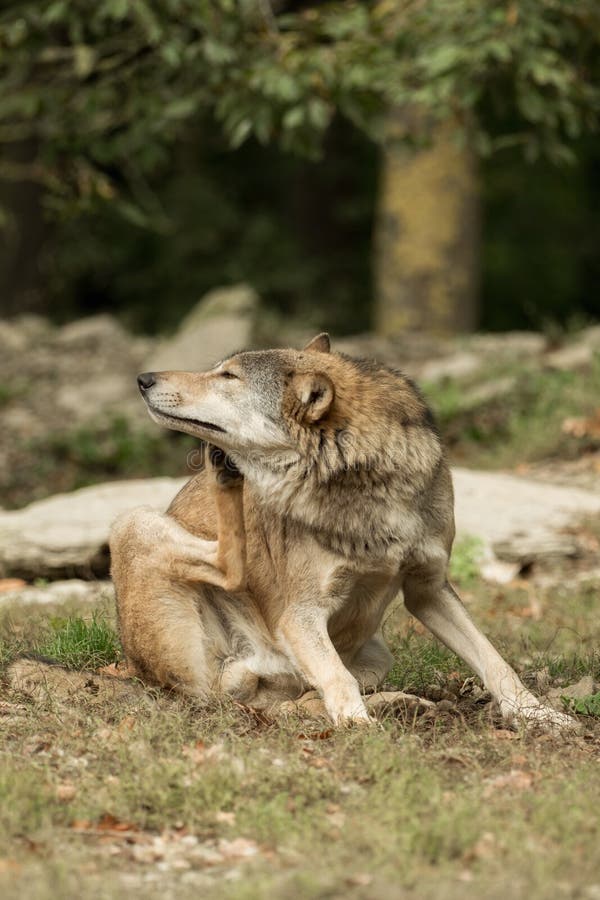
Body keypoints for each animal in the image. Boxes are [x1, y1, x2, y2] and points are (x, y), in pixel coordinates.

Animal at [110, 334, 573, 728]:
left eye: (228, 377)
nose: (143, 379)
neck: (368, 489)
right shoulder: (301, 616)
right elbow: (337, 677)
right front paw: (357, 726)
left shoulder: (428, 588)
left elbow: (496, 661)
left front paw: (541, 716)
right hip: (134, 522)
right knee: (232, 576)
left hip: (376, 654)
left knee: (297, 702)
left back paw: (401, 704)